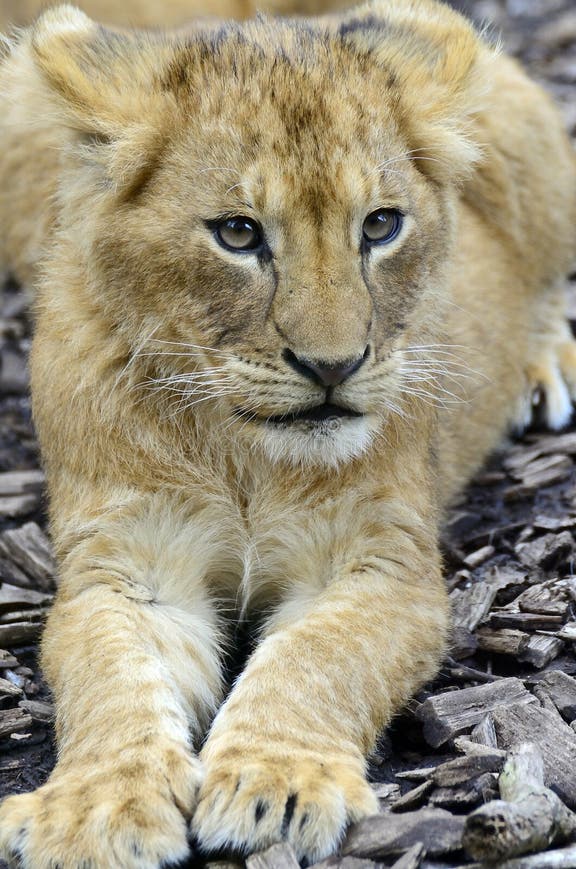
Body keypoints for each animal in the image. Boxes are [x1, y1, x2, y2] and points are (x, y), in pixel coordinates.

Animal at [0, 1, 575, 867]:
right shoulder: (126, 566)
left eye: (381, 225)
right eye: (238, 233)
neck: (246, 452)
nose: (332, 367)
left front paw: (277, 781)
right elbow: (111, 679)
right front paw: (93, 808)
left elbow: (318, 658)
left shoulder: (383, 563)